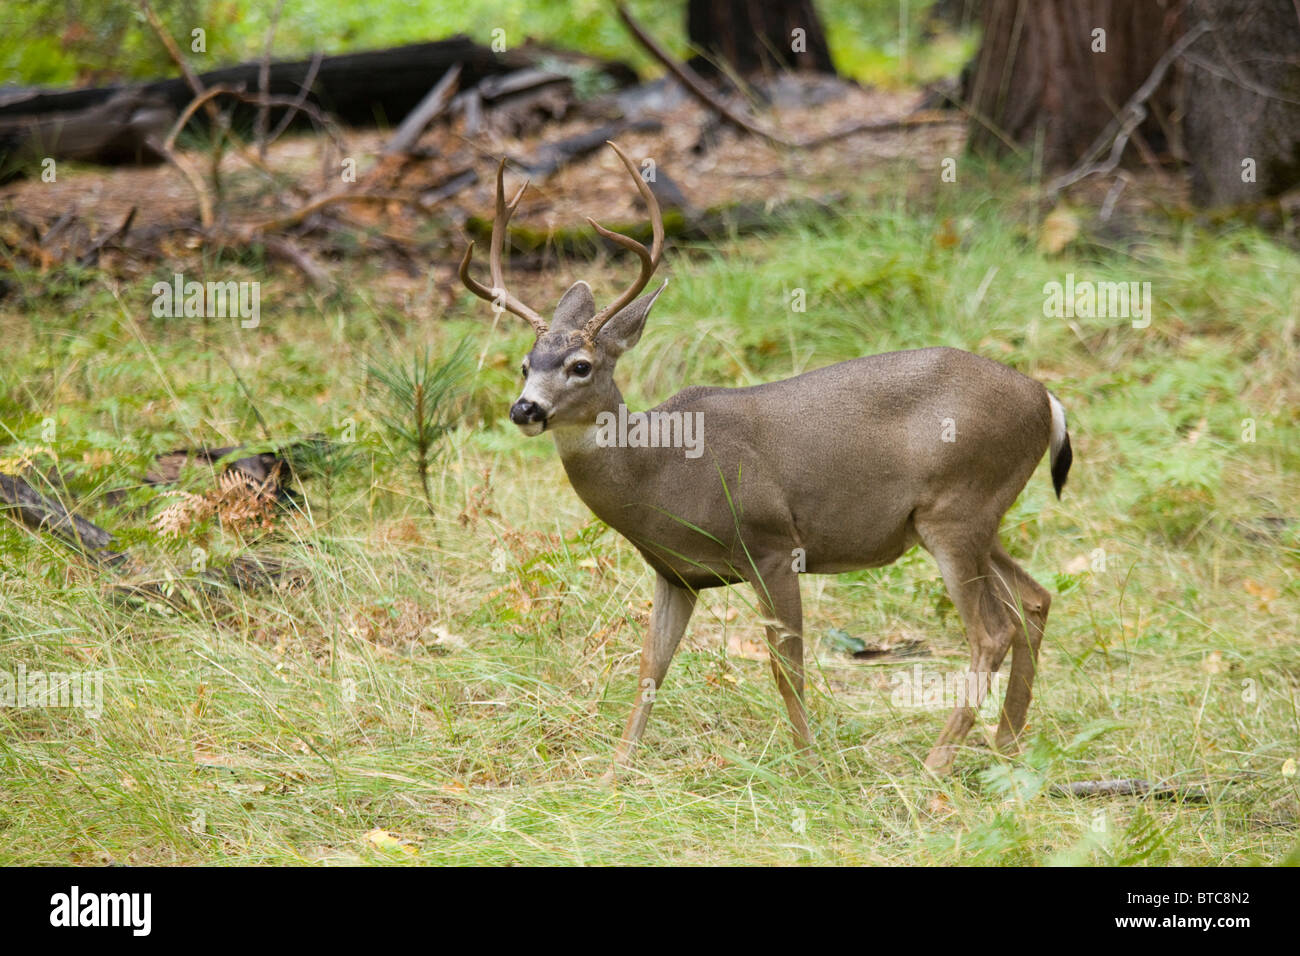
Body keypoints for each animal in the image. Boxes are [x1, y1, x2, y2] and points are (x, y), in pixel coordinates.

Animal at [459, 142, 1072, 776]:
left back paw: (935, 764)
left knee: (992, 631)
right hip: (976, 515)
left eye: (580, 365)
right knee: (1034, 600)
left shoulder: (773, 544)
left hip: (957, 507)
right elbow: (650, 669)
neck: (661, 470)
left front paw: (810, 766)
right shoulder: (674, 572)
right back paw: (1007, 744)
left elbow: (786, 670)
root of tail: (1046, 400)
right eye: (525, 364)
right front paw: (613, 774)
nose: (524, 409)